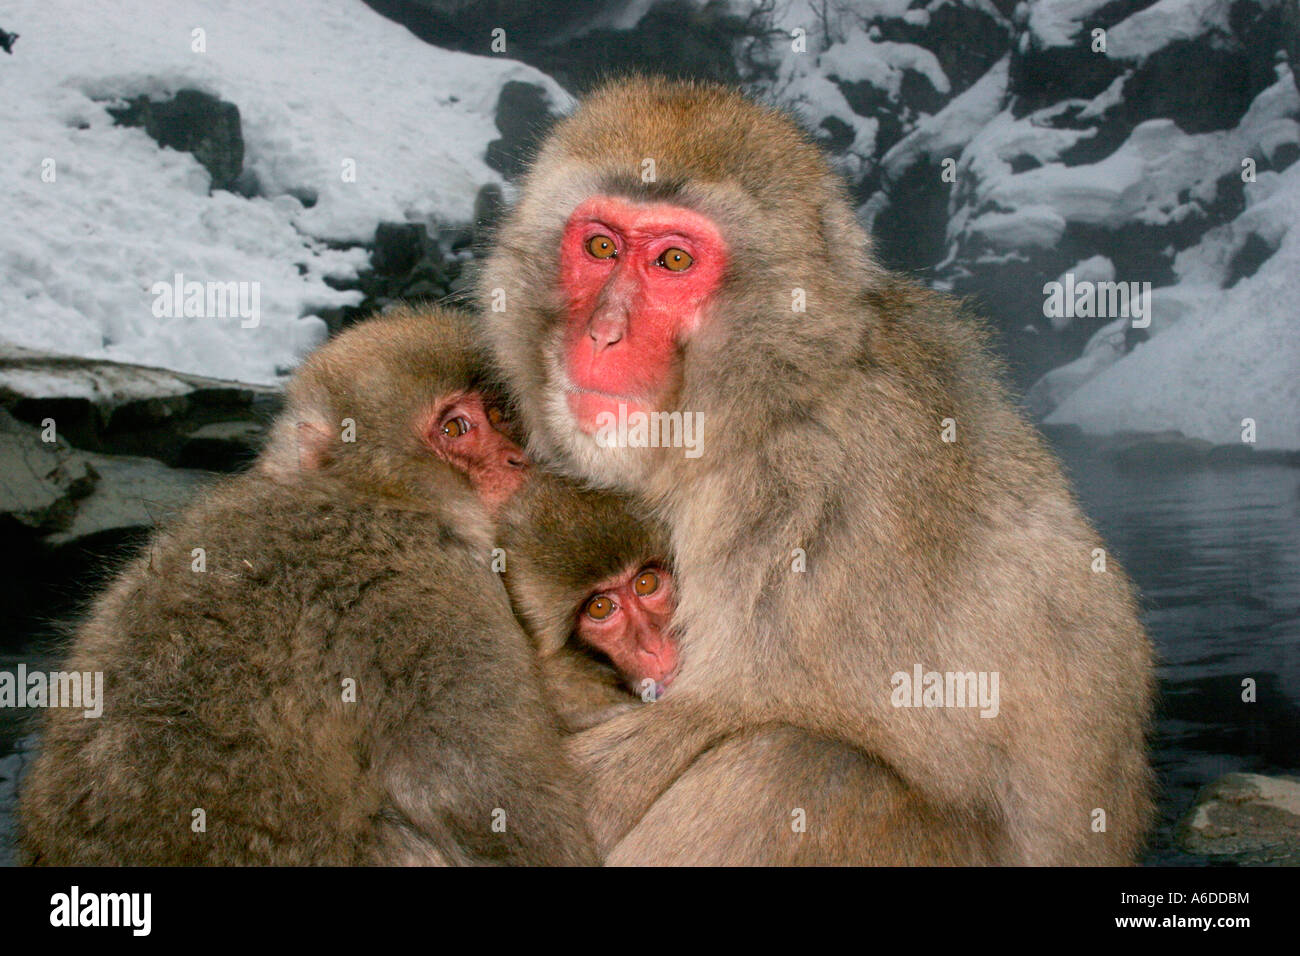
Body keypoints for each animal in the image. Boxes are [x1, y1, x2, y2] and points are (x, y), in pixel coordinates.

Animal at [18, 305, 597, 866]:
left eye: (498, 417)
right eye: (455, 429)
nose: (518, 460)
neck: (372, 498)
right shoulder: (427, 600)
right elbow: (488, 807)